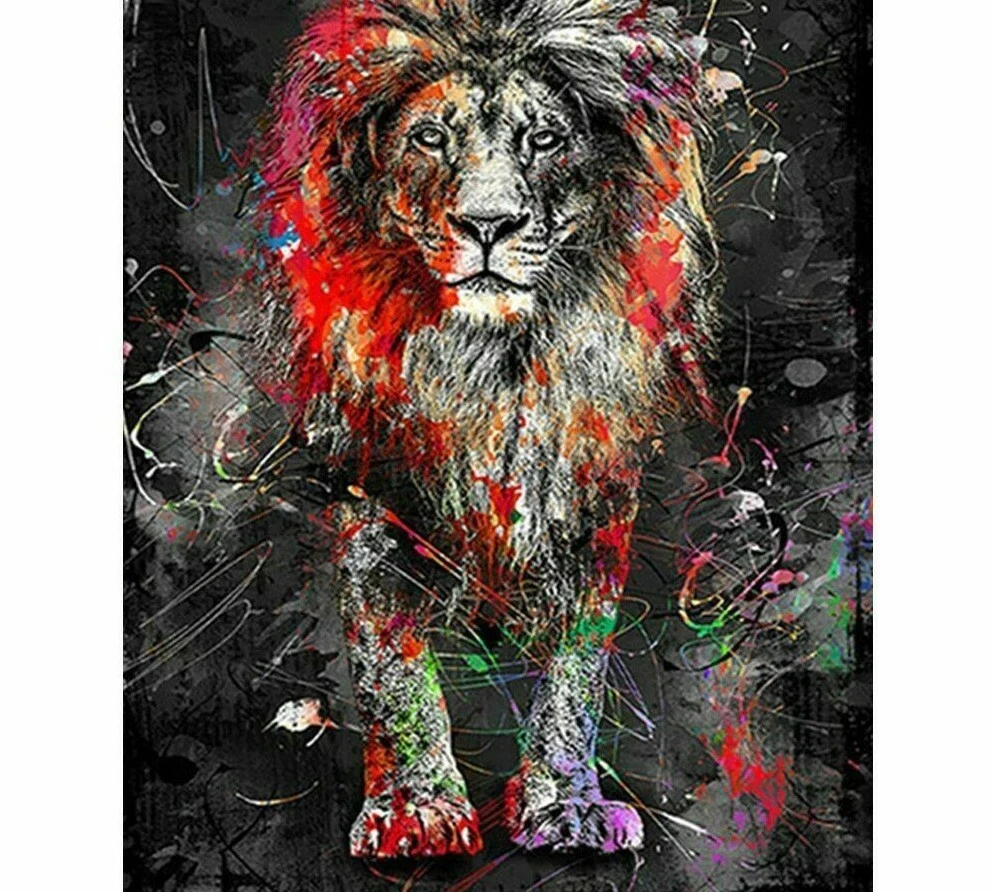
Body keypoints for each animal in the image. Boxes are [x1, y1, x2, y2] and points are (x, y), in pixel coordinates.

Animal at [237, 0, 722, 860]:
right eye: (431, 137)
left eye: (546, 138)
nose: (488, 223)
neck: (494, 365)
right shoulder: (374, 486)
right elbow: (390, 662)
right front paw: (417, 809)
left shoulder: (592, 492)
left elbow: (577, 667)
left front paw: (565, 803)